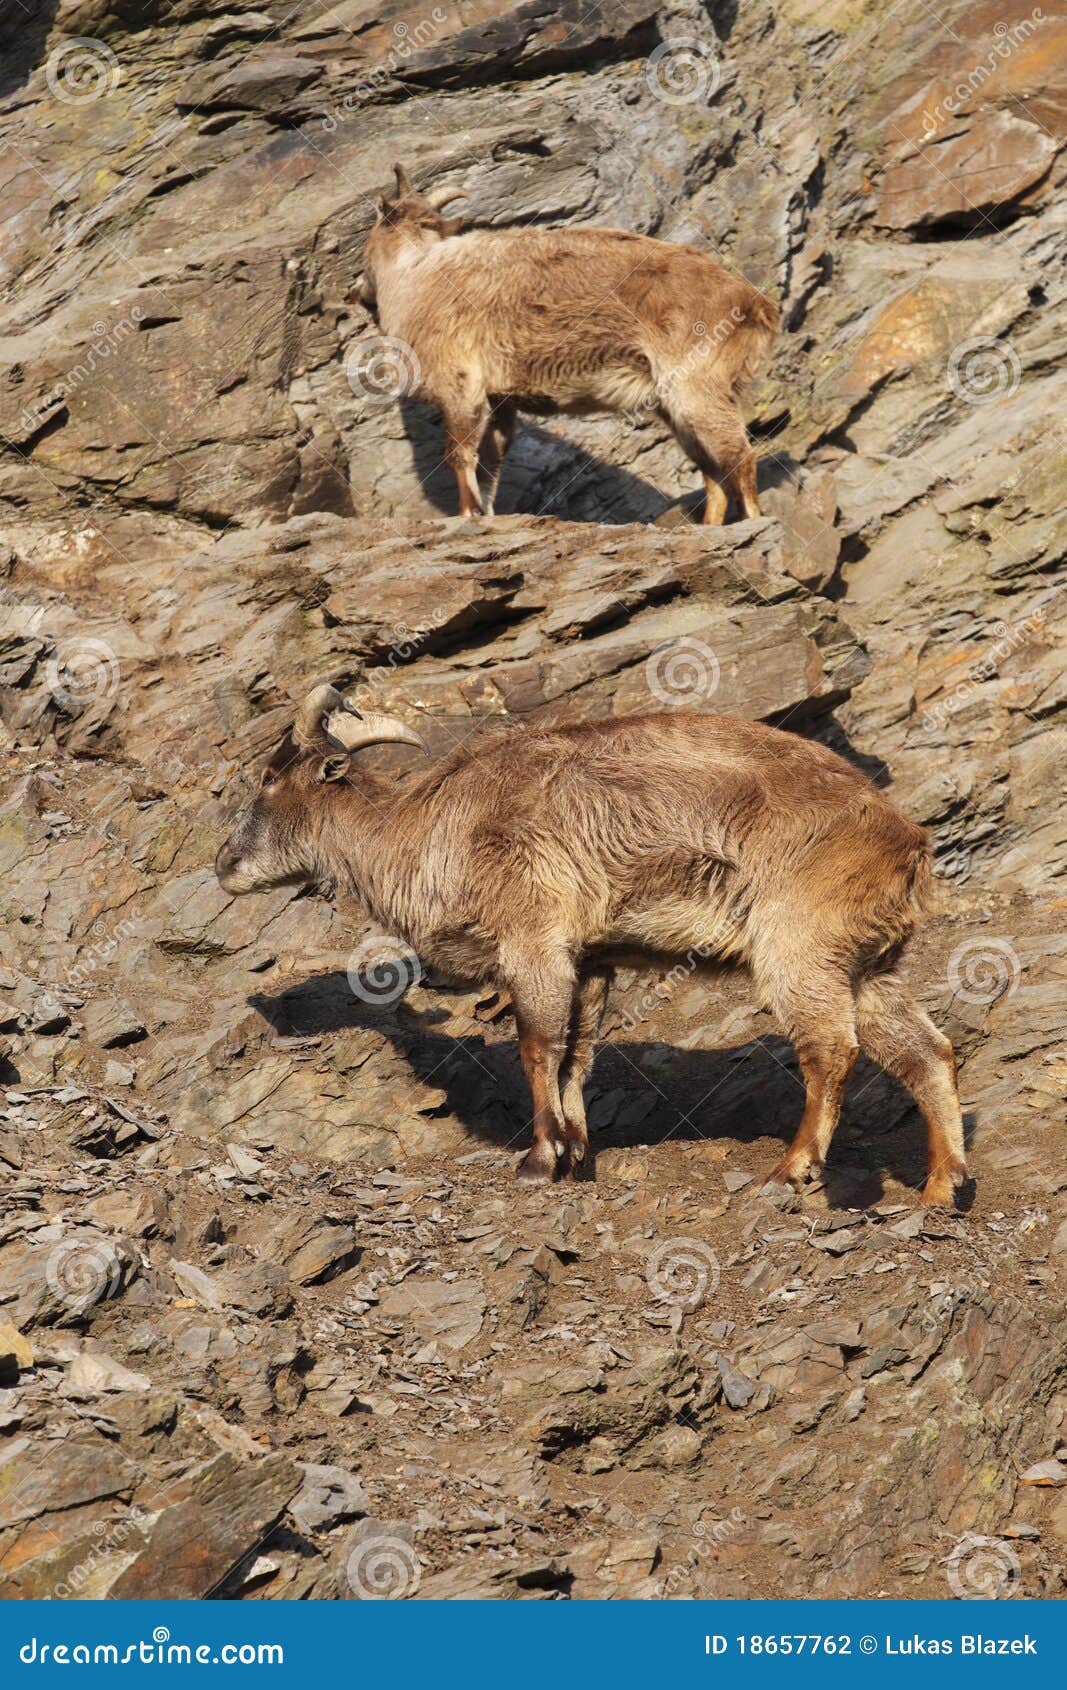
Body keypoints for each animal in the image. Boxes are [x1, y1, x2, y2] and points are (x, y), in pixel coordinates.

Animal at [216, 686, 967, 1206]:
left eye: (270, 778)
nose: (225, 863)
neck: (428, 828)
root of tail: (906, 841)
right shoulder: (592, 961)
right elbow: (577, 1054)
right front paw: (575, 1154)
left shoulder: (534, 942)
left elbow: (538, 1044)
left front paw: (539, 1159)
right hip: (868, 967)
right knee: (925, 1052)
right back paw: (940, 1187)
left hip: (800, 949)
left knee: (830, 1049)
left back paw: (791, 1169)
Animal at [357, 163, 778, 525]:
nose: (357, 290)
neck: (416, 275)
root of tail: (756, 303)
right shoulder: (499, 401)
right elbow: (490, 465)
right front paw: (486, 515)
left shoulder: (460, 385)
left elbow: (459, 454)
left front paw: (465, 515)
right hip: (676, 404)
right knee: (711, 469)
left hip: (698, 387)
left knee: (739, 456)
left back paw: (752, 522)